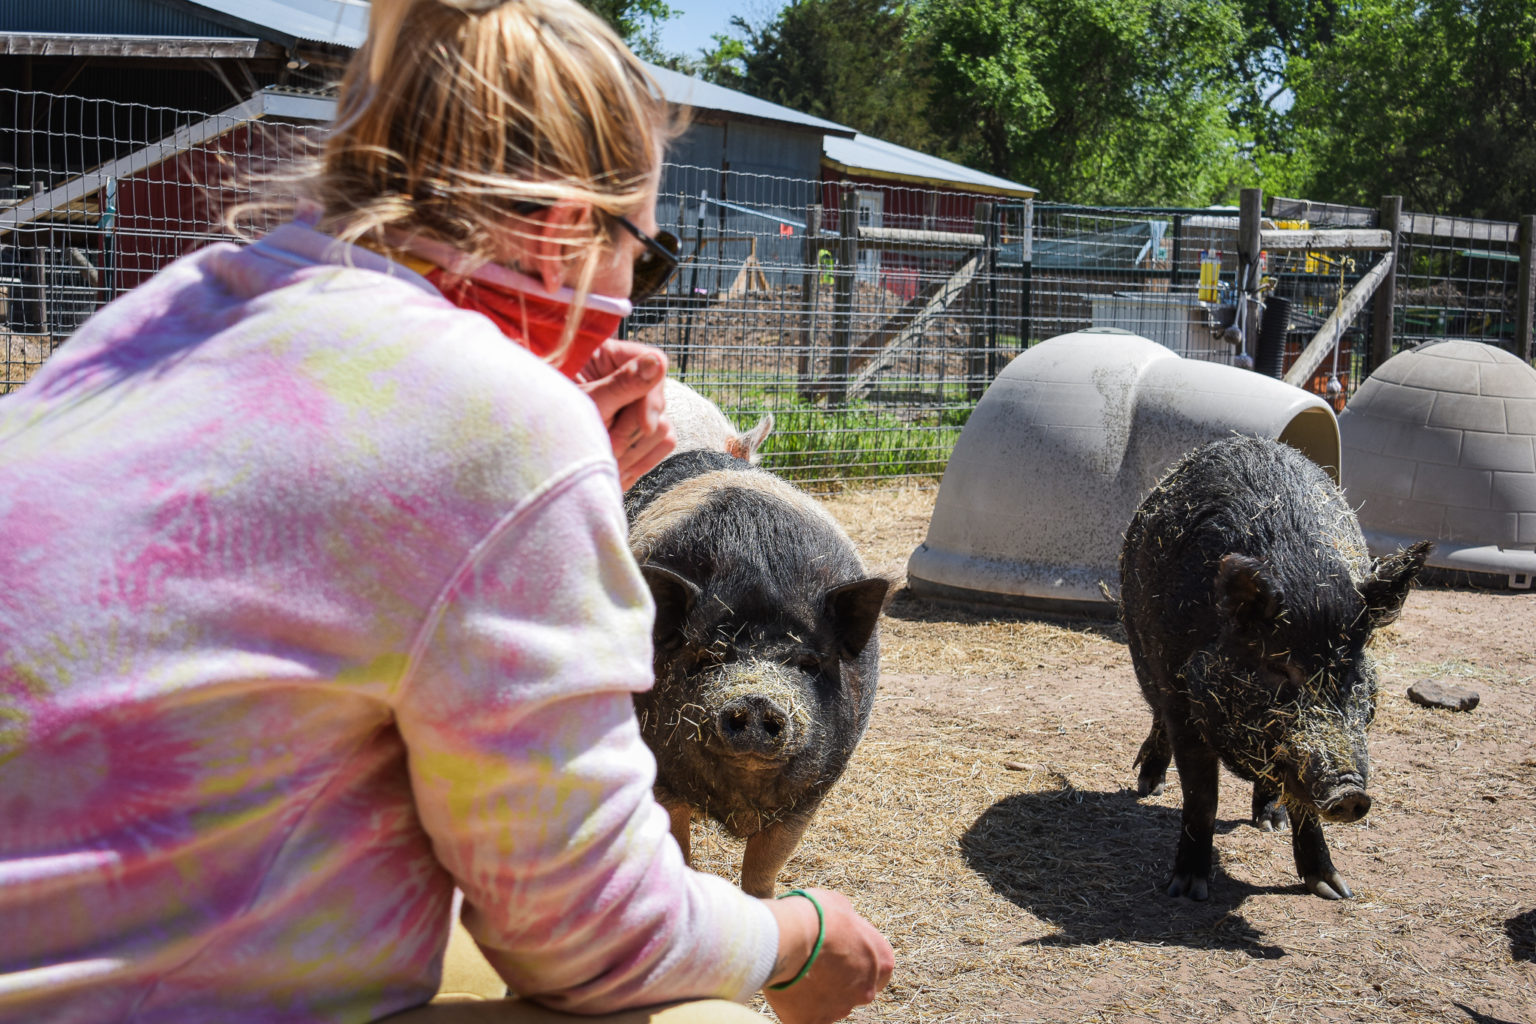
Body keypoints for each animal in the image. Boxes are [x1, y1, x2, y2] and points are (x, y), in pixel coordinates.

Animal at [625, 413, 888, 898]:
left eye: (808, 664)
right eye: (706, 657)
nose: (756, 698)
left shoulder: (813, 792)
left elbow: (764, 869)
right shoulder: (661, 779)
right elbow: (680, 848)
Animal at [1119, 435, 1430, 901]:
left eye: (1352, 671)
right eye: (1279, 668)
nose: (1349, 792)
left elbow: (1303, 803)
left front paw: (1334, 890)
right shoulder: (1182, 697)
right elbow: (1201, 796)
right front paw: (1187, 890)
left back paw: (1269, 822)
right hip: (1145, 658)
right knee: (1156, 718)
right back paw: (1148, 787)